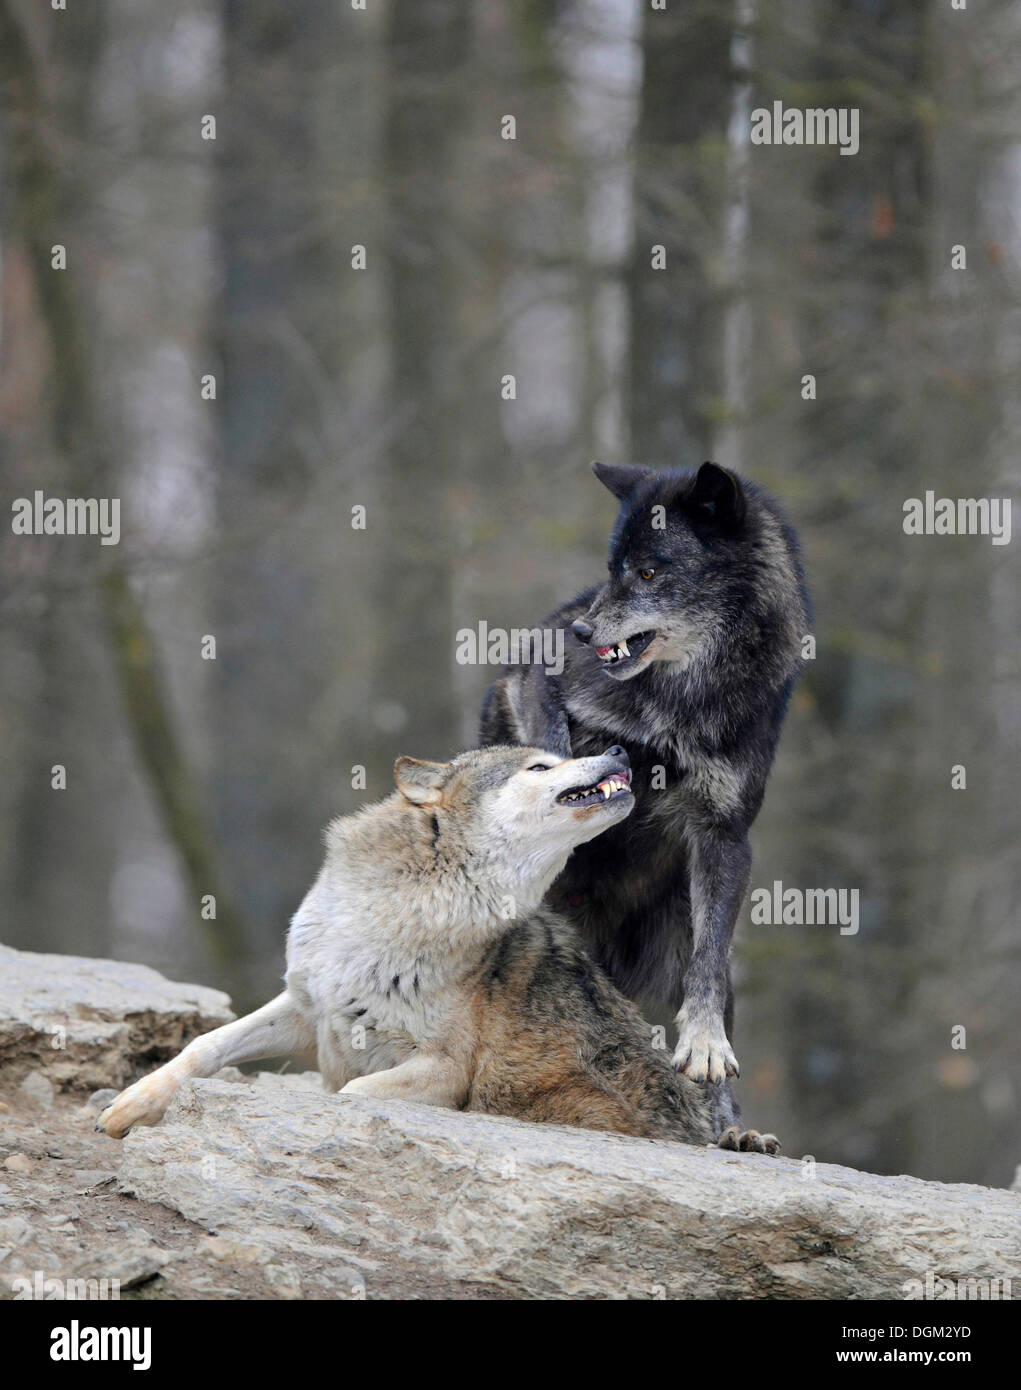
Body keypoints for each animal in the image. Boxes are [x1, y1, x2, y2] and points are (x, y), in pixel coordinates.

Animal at [97, 744, 777, 1152]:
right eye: (540, 767)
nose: (616, 750)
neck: (399, 916)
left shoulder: (446, 1071)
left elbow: (348, 1096)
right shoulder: (310, 1009)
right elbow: (204, 1046)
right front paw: (130, 1106)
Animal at [481, 462, 808, 1122]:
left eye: (651, 571)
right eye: (612, 568)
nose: (582, 630)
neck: (682, 699)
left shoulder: (724, 836)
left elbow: (708, 966)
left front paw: (706, 1046)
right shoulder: (533, 680)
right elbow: (552, 744)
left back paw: (734, 1129)